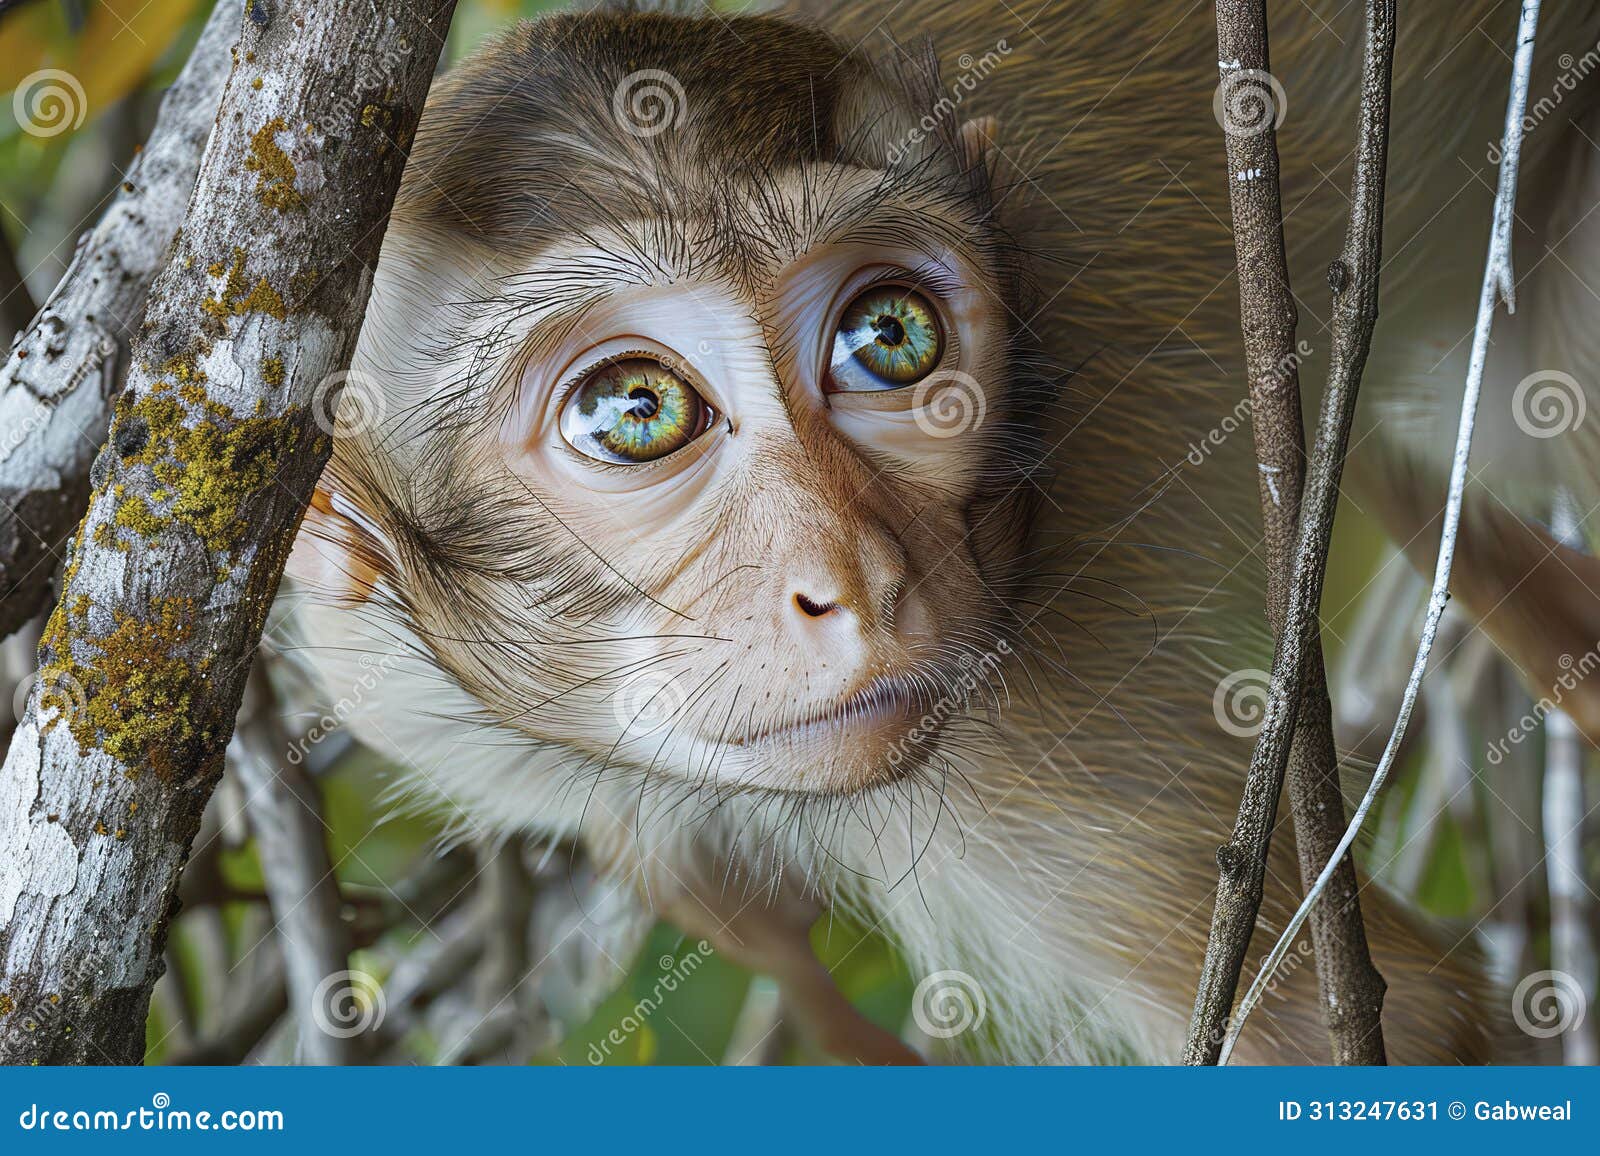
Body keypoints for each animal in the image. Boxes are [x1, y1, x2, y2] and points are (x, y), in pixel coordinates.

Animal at [279, 0, 1600, 1064]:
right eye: (635, 411)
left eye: (889, 337)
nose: (854, 583)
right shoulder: (382, 684)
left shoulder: (1022, 727)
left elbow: (1400, 1029)